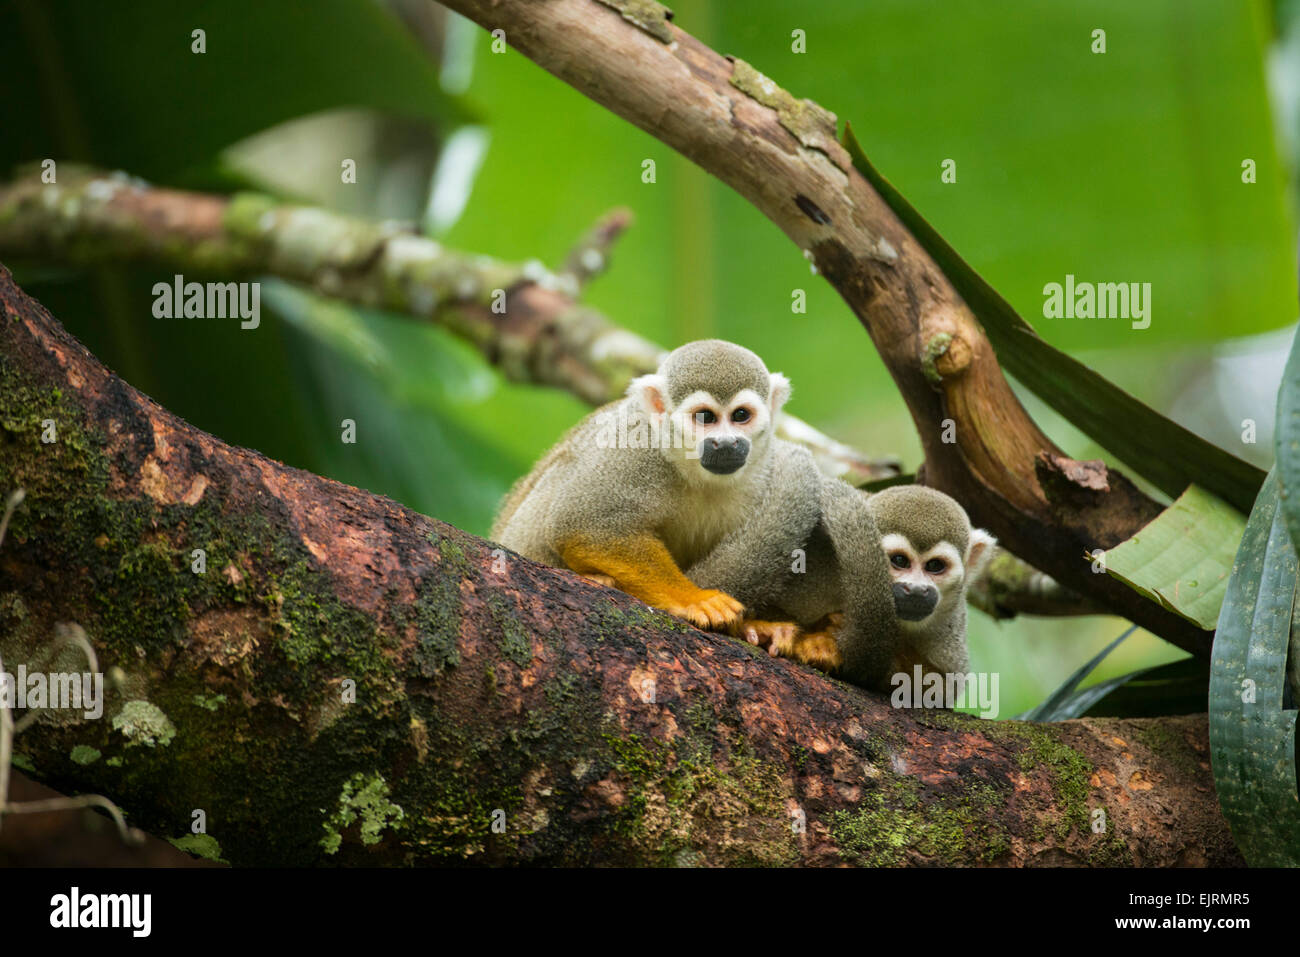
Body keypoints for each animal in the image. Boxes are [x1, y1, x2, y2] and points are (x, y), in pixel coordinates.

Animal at [490, 339, 795, 630]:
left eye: (740, 415)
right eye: (706, 417)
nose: (727, 443)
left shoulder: (761, 474)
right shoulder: (634, 447)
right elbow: (582, 523)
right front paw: (695, 599)